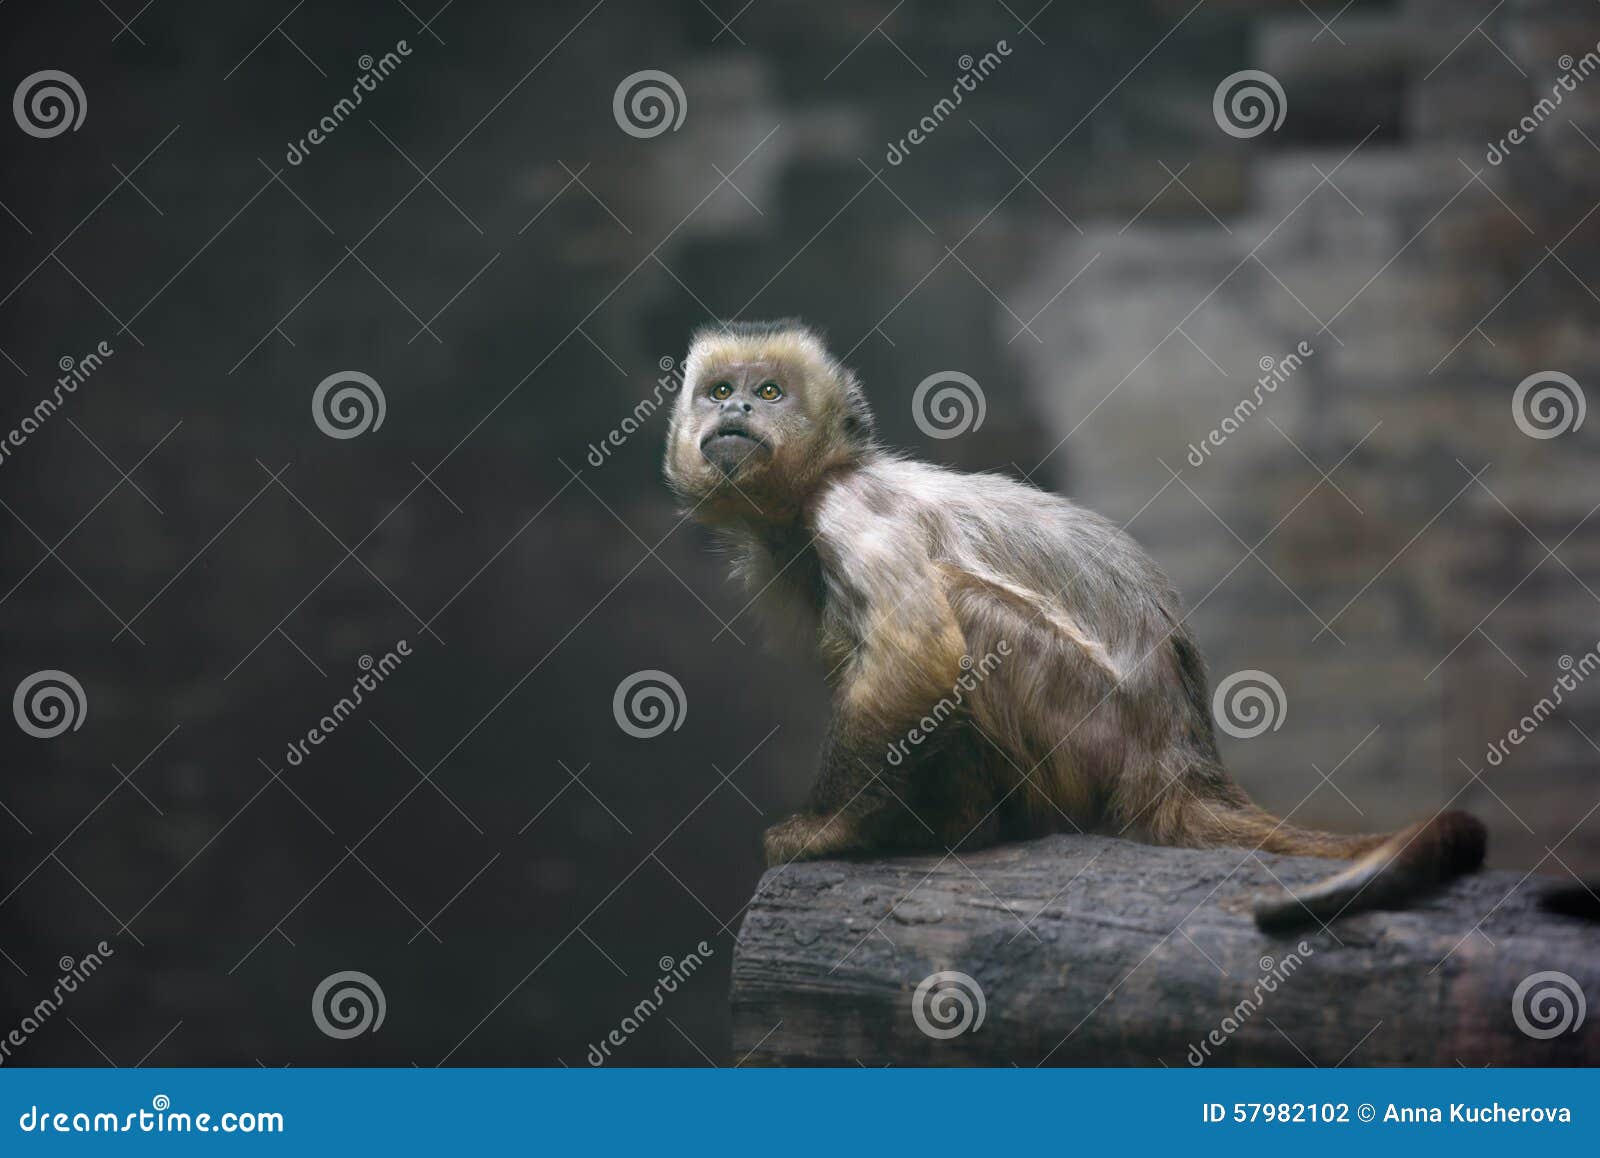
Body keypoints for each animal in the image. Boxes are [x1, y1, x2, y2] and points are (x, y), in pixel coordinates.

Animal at [664, 319, 1486, 934]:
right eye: (721, 392)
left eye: (769, 393)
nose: (735, 413)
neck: (811, 495)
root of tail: (1180, 758)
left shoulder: (848, 508)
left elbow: (916, 658)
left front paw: (834, 831)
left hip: (1094, 740)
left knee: (963, 611)